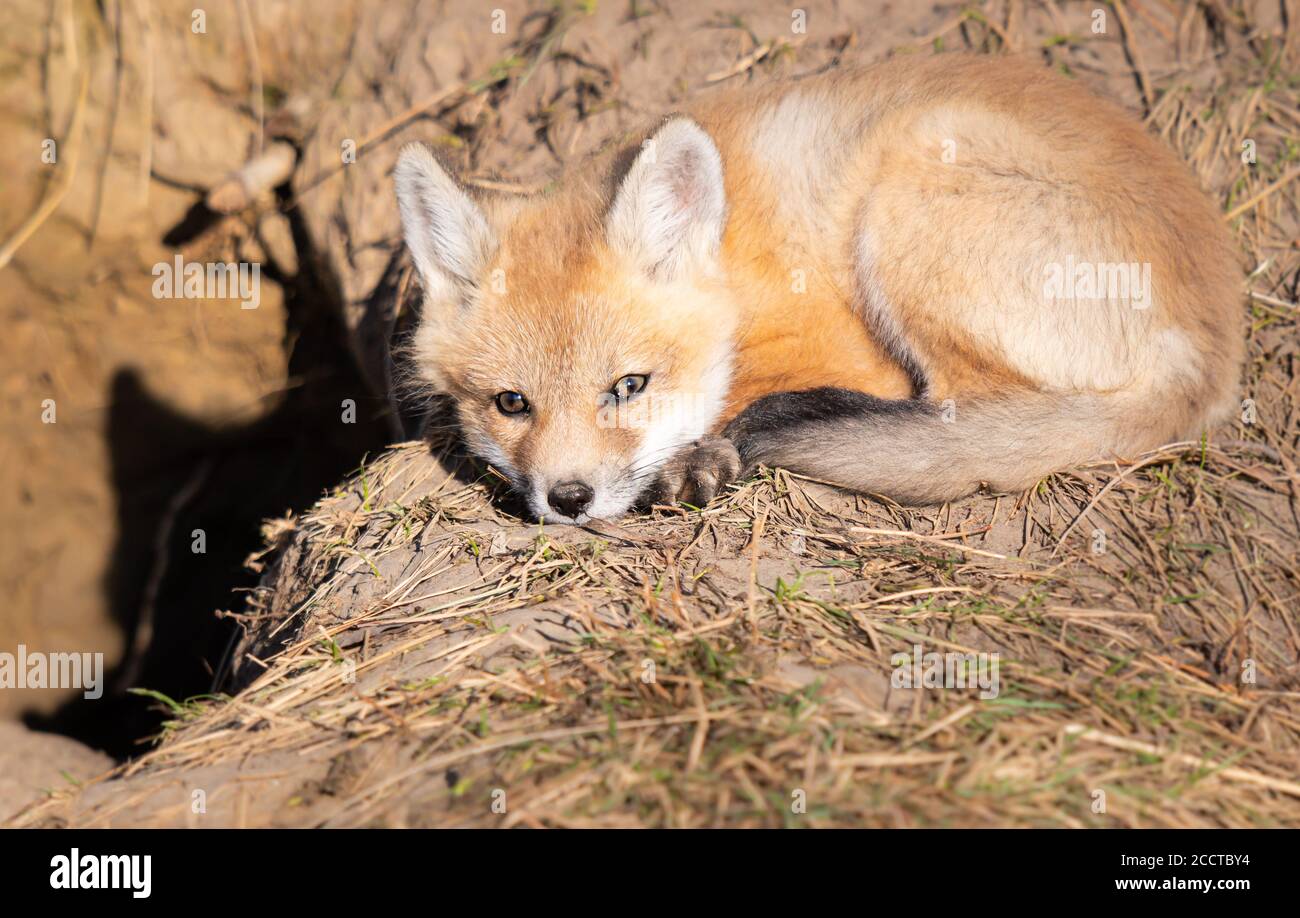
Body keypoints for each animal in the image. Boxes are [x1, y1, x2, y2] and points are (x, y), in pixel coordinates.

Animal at [393, 54, 1243, 525]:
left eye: (629, 386)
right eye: (511, 403)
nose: (568, 500)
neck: (733, 263)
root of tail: (1214, 344)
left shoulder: (843, 348)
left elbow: (743, 399)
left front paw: (706, 448)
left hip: (905, 196)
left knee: (962, 417)